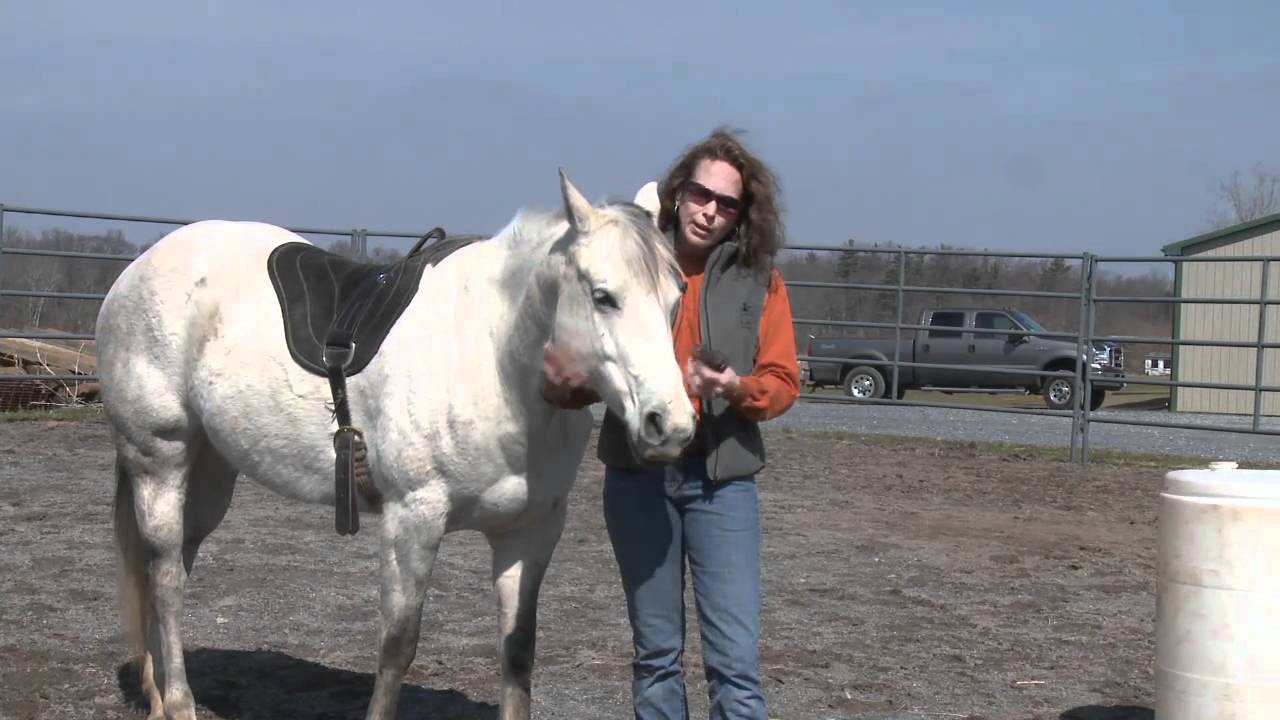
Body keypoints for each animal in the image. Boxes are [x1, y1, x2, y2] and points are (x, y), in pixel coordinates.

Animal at [95, 171, 697, 720]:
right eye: (603, 297)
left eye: (675, 299)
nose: (671, 425)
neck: (494, 359)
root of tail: (133, 274)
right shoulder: (413, 519)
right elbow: (397, 648)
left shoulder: (531, 531)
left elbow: (518, 651)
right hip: (160, 460)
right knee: (166, 579)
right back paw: (177, 704)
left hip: (210, 472)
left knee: (169, 571)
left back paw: (156, 697)